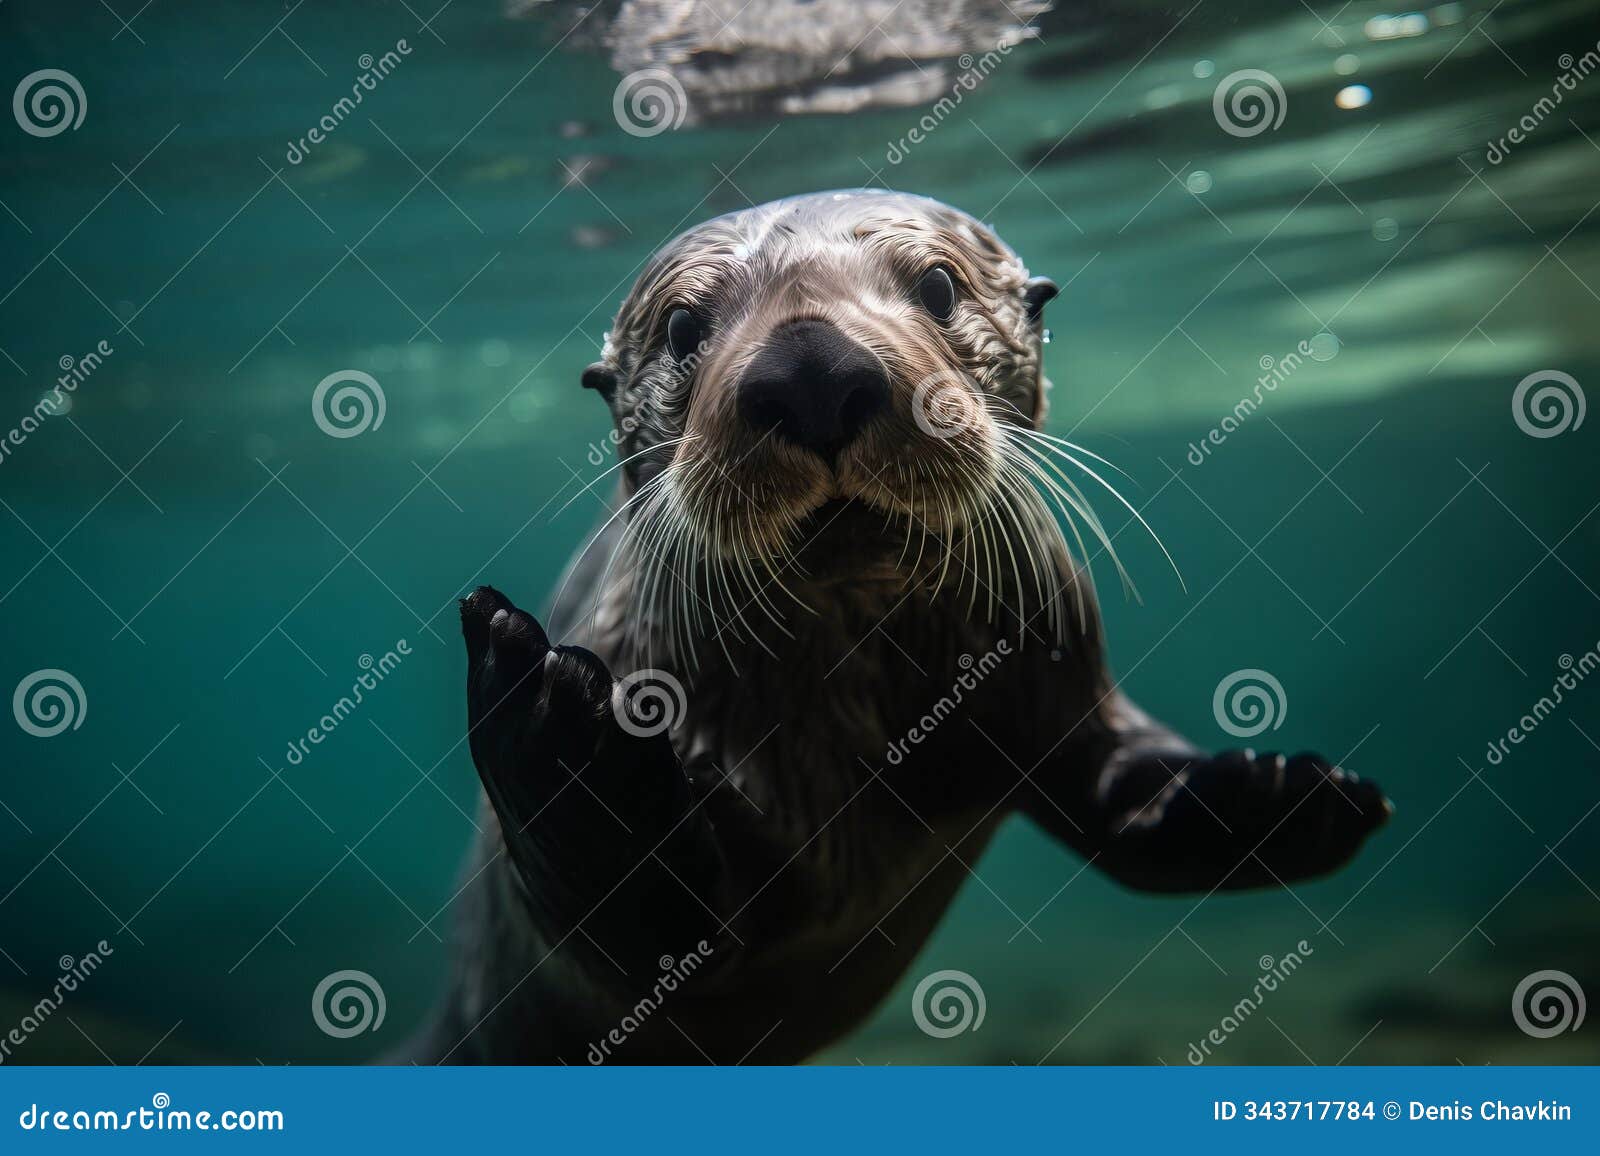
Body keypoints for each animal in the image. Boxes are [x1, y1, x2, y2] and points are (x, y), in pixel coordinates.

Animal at [412, 190, 1390, 1064]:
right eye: (685, 330)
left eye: (938, 286)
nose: (810, 370)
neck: (857, 752)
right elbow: (641, 935)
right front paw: (554, 728)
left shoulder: (1057, 660)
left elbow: (1117, 785)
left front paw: (1288, 794)